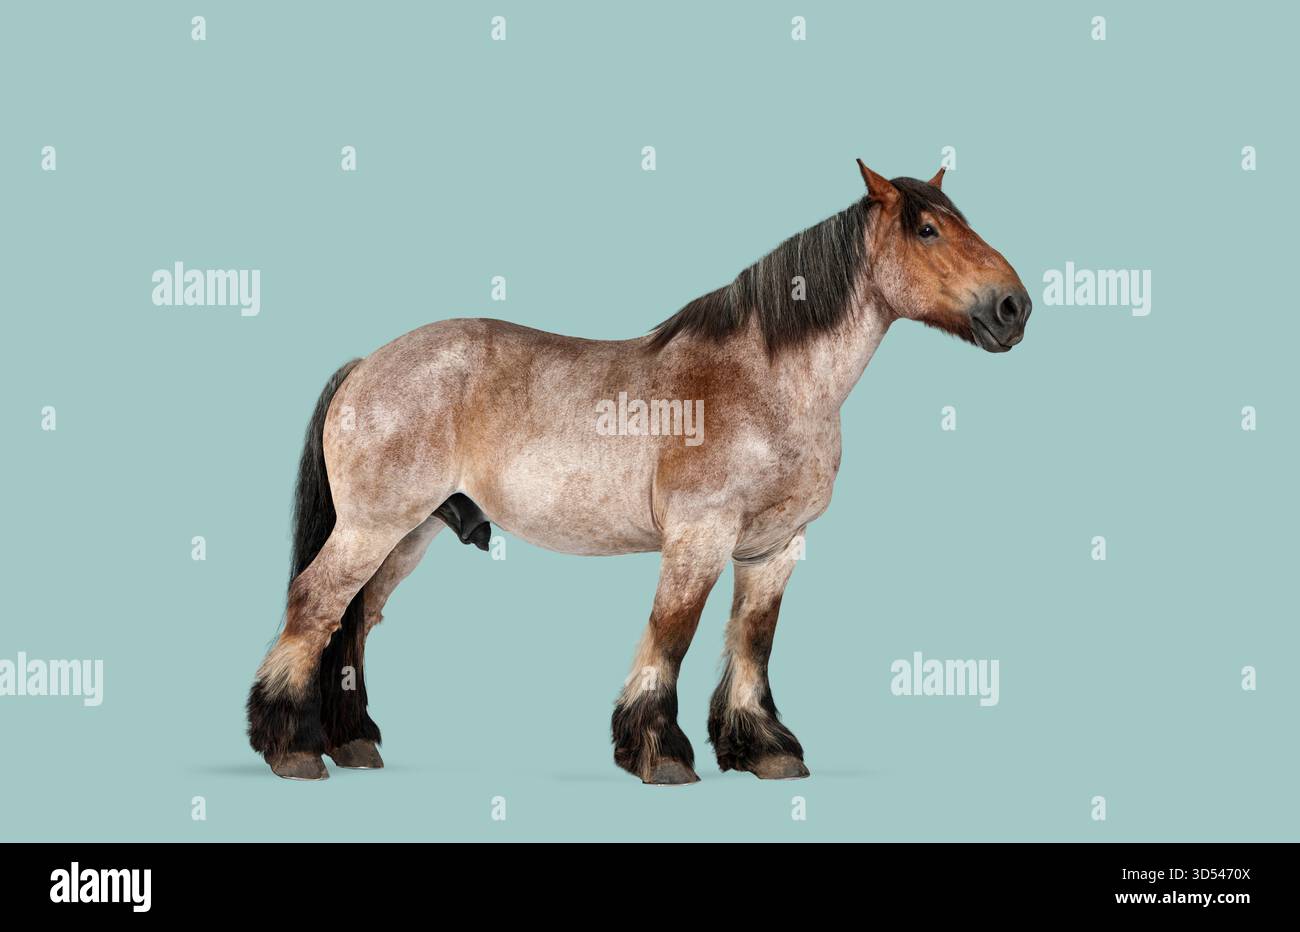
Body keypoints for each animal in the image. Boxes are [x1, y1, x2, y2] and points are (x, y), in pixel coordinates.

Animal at [246, 159, 1032, 784]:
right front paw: (662, 752)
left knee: (354, 621)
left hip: (407, 536)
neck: (770, 381)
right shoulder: (698, 538)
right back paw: (293, 749)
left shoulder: (774, 550)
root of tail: (367, 364)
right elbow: (672, 636)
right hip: (374, 526)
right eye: (926, 230)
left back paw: (352, 742)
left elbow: (753, 643)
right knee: (315, 605)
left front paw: (765, 751)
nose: (1014, 307)